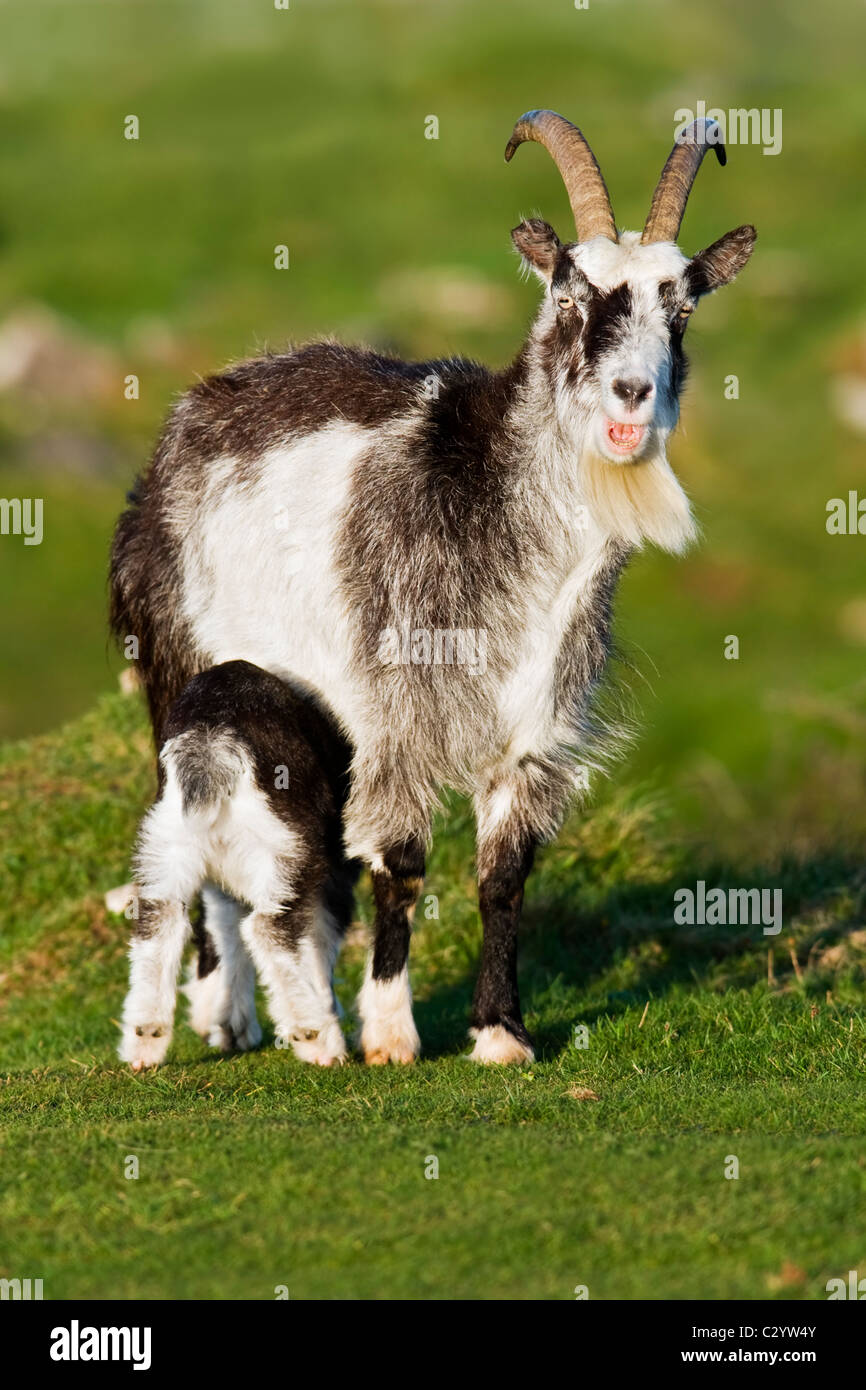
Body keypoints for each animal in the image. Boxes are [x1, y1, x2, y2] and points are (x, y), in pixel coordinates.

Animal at [119, 660, 358, 1070]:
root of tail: (209, 747)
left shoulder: (220, 883)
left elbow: (226, 930)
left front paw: (233, 1026)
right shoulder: (333, 875)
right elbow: (320, 943)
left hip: (164, 844)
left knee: (160, 919)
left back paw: (145, 1039)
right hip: (286, 847)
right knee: (268, 928)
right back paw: (314, 1037)